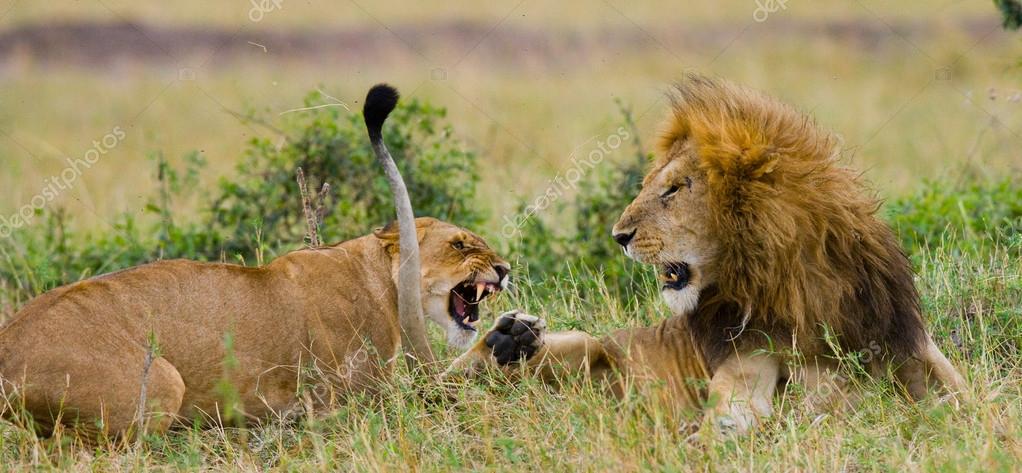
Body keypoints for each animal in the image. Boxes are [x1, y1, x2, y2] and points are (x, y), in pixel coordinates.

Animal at [450, 74, 967, 435]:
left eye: (674, 189)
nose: (619, 235)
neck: (800, 283)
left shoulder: (910, 346)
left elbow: (959, 400)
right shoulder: (748, 358)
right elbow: (745, 413)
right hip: (588, 345)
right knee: (454, 377)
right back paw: (506, 338)